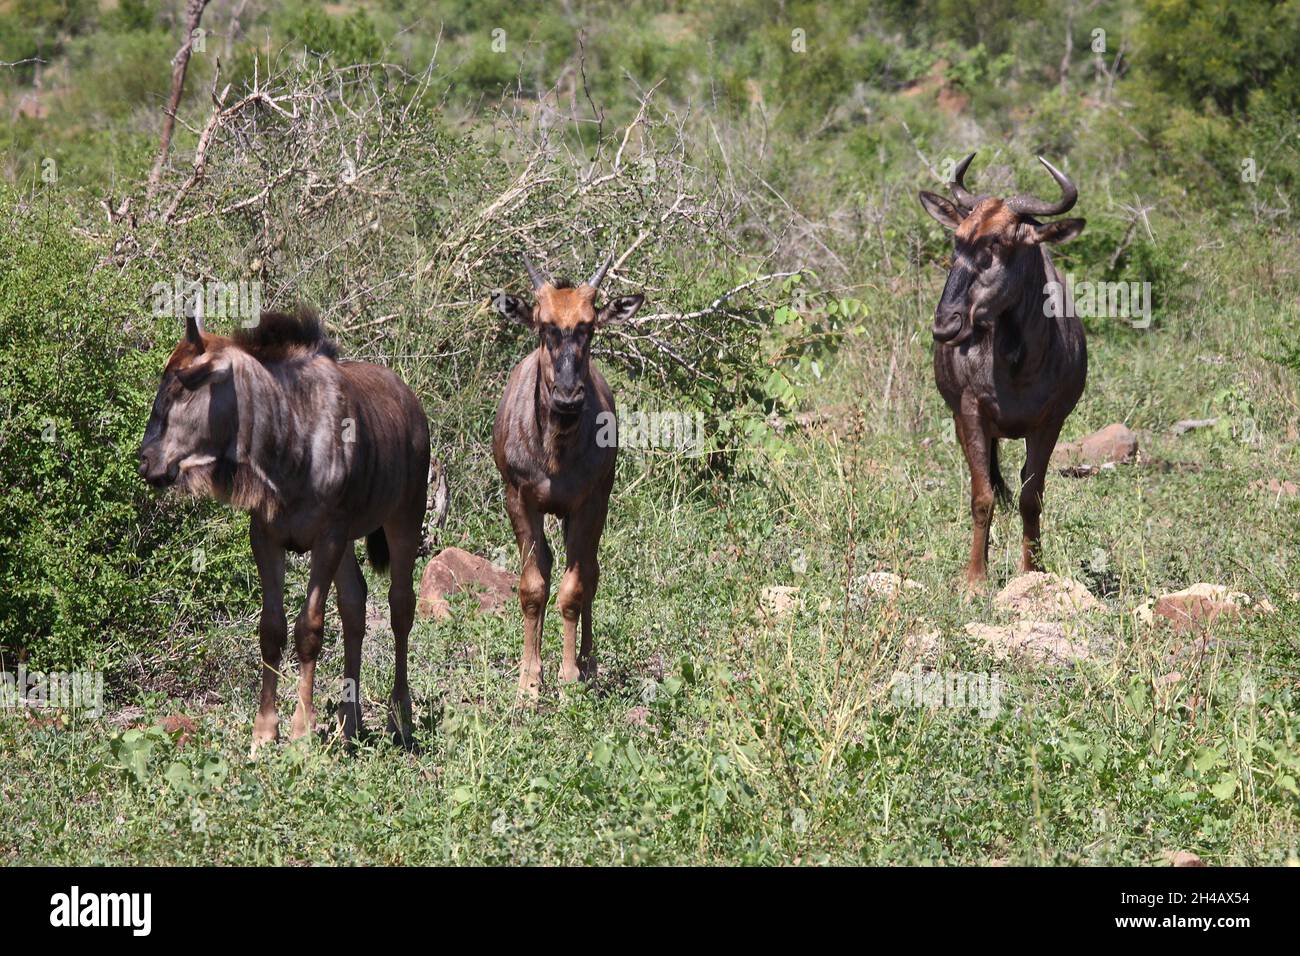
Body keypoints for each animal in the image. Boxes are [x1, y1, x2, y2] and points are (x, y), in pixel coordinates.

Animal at [138, 307, 429, 750]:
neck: (290, 438)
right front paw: (264, 731)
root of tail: (412, 404)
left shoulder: (327, 538)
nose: (146, 461)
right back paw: (348, 723)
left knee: (400, 606)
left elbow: (309, 629)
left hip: (404, 520)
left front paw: (301, 729)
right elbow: (271, 629)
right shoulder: (266, 536)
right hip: (350, 542)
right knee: (355, 605)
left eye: (185, 386)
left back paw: (400, 716)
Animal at [491, 255, 645, 697]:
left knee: (590, 571)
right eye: (545, 326)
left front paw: (571, 673)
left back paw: (588, 662)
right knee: (545, 567)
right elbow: (532, 586)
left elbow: (574, 588)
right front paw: (529, 680)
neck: (555, 453)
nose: (568, 396)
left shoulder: (588, 505)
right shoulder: (519, 500)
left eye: (589, 326)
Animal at [918, 153, 1087, 587]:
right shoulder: (970, 414)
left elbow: (1032, 497)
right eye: (958, 238)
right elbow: (982, 496)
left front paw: (1032, 569)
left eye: (999, 242)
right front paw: (975, 578)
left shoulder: (1050, 424)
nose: (946, 324)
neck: (1015, 368)